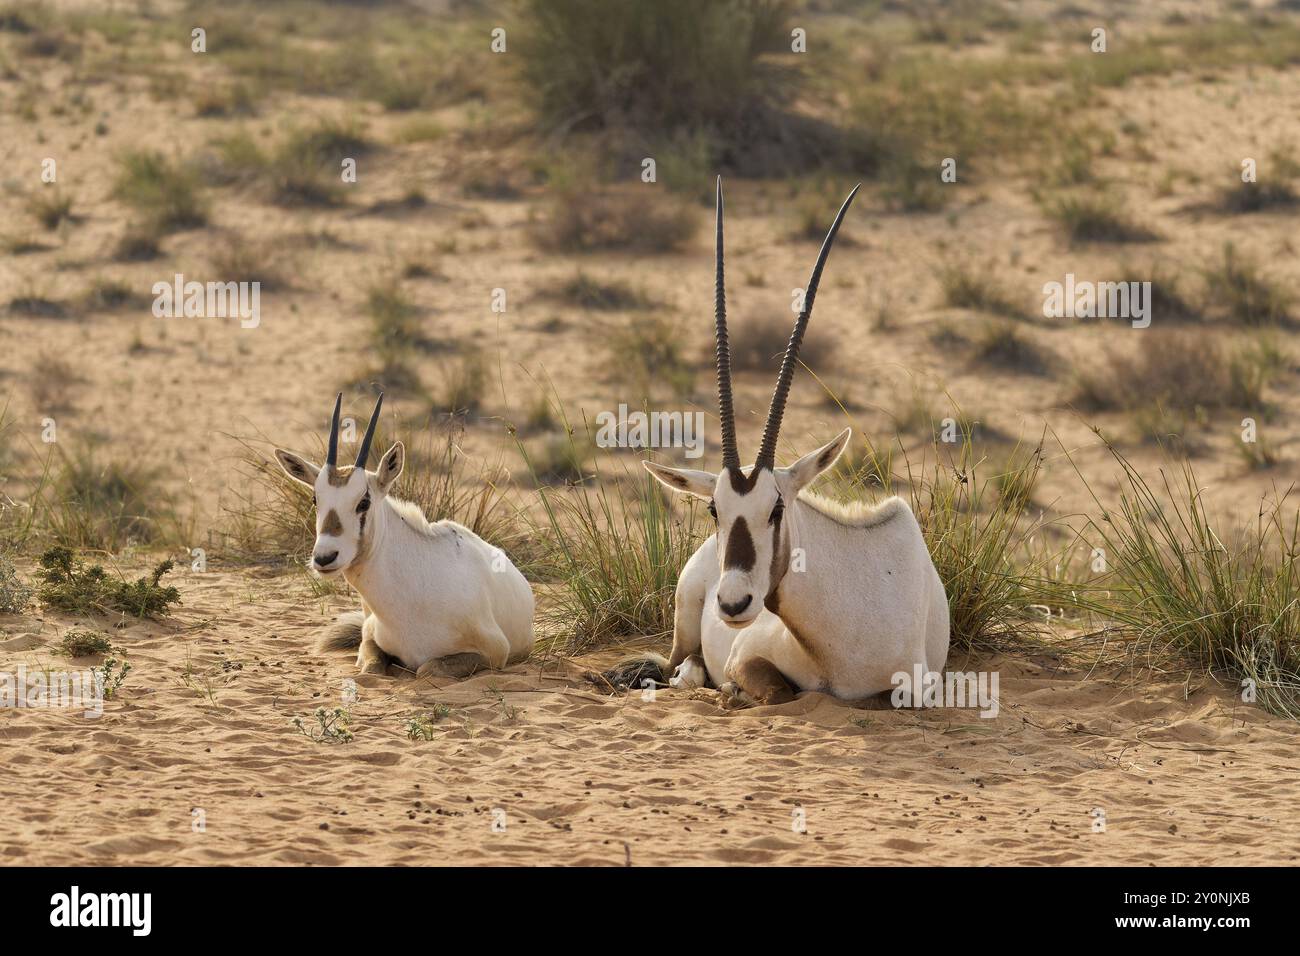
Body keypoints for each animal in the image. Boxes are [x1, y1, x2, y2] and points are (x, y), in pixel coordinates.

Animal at [275, 394, 535, 678]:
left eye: (364, 501)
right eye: (315, 499)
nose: (324, 557)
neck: (410, 597)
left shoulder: (495, 652)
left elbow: (425, 669)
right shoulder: (369, 637)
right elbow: (372, 669)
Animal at [643, 180, 949, 705]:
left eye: (777, 509)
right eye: (714, 510)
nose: (733, 603)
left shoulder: (919, 688)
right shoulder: (746, 653)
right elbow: (777, 691)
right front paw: (734, 691)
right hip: (684, 613)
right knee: (675, 664)